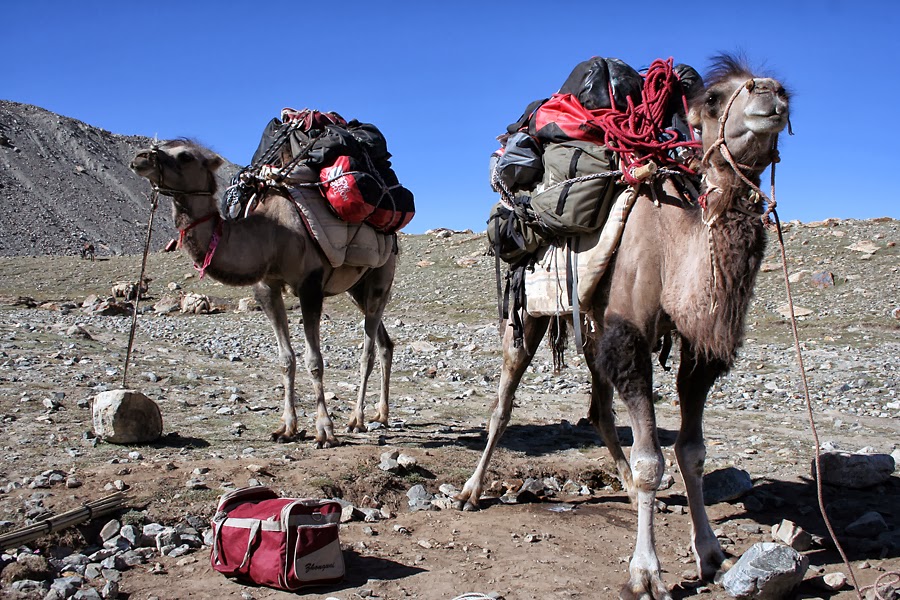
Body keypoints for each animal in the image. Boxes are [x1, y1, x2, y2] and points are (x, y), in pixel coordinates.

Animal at [130, 140, 396, 447]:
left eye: (184, 155)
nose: (140, 158)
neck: (271, 235)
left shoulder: (310, 284)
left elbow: (314, 361)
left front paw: (325, 431)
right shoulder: (266, 287)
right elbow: (286, 359)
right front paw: (287, 428)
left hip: (380, 277)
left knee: (368, 351)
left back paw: (357, 419)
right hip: (355, 288)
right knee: (384, 343)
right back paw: (381, 415)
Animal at [456, 55, 791, 600]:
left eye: (783, 91)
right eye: (714, 98)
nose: (772, 93)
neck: (676, 245)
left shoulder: (695, 349)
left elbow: (691, 451)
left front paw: (712, 555)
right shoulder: (629, 335)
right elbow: (653, 460)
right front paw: (646, 573)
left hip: (592, 325)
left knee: (599, 410)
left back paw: (627, 487)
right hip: (527, 315)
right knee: (503, 403)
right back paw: (471, 490)